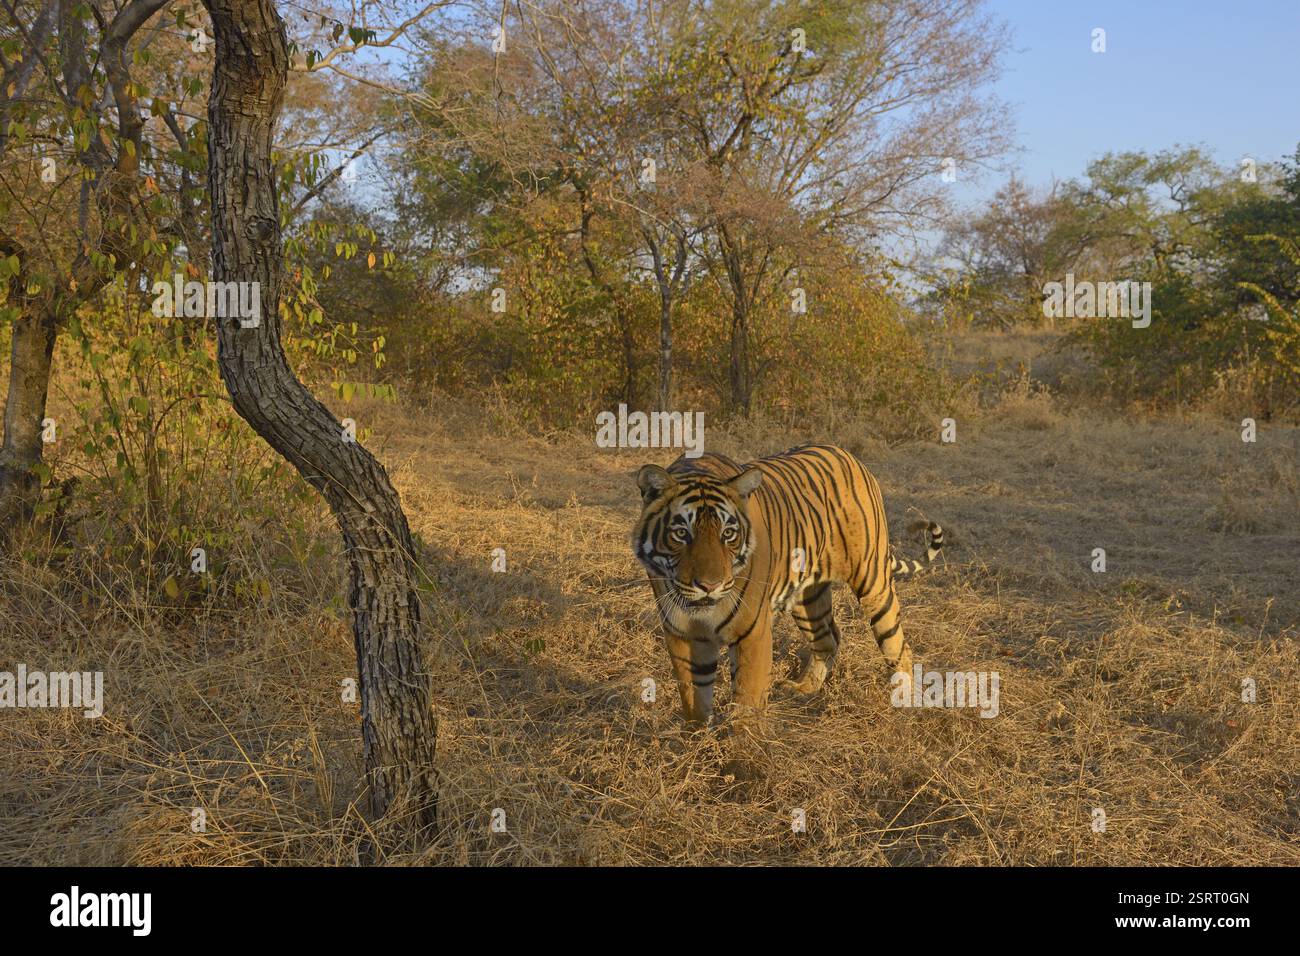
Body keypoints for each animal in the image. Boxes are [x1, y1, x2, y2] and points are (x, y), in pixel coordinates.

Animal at [632, 444, 943, 727]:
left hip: (873, 583)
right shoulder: (681, 633)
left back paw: (903, 708)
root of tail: (848, 454)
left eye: (728, 534)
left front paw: (743, 749)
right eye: (681, 533)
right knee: (828, 638)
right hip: (807, 599)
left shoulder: (752, 632)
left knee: (899, 646)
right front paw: (696, 742)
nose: (709, 585)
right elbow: (693, 698)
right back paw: (804, 689)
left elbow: (746, 702)